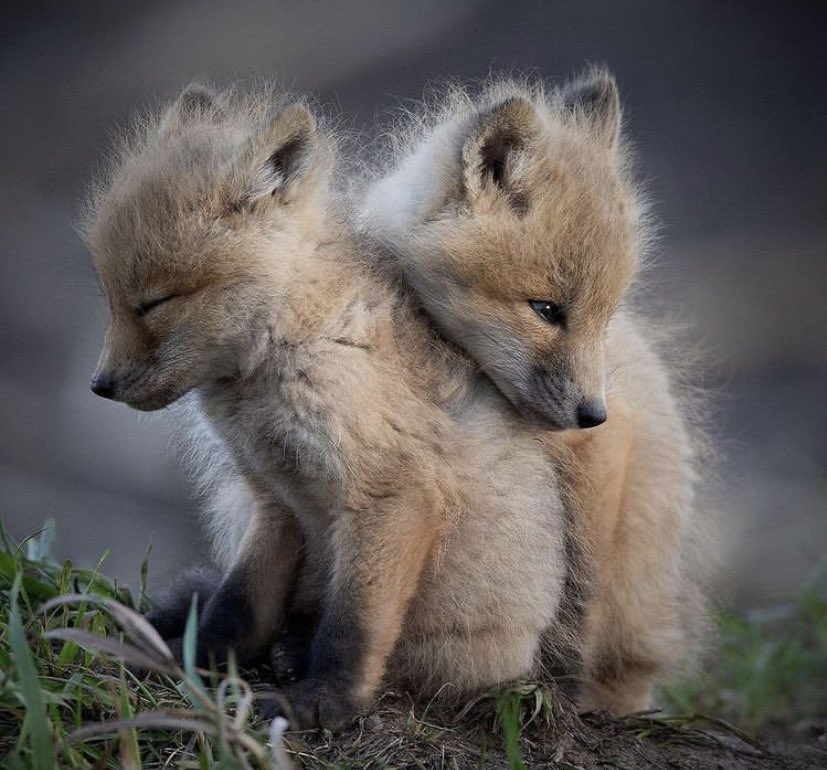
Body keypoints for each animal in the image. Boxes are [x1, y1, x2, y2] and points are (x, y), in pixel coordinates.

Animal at [83, 84, 577, 729]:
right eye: (110, 298)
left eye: (153, 302)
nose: (100, 386)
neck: (294, 339)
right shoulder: (275, 499)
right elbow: (236, 606)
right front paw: (190, 663)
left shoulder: (391, 494)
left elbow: (353, 629)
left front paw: (325, 702)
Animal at [359, 68, 709, 715]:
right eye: (547, 310)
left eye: (605, 316)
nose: (592, 414)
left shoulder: (605, 462)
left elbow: (582, 598)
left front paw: (563, 694)